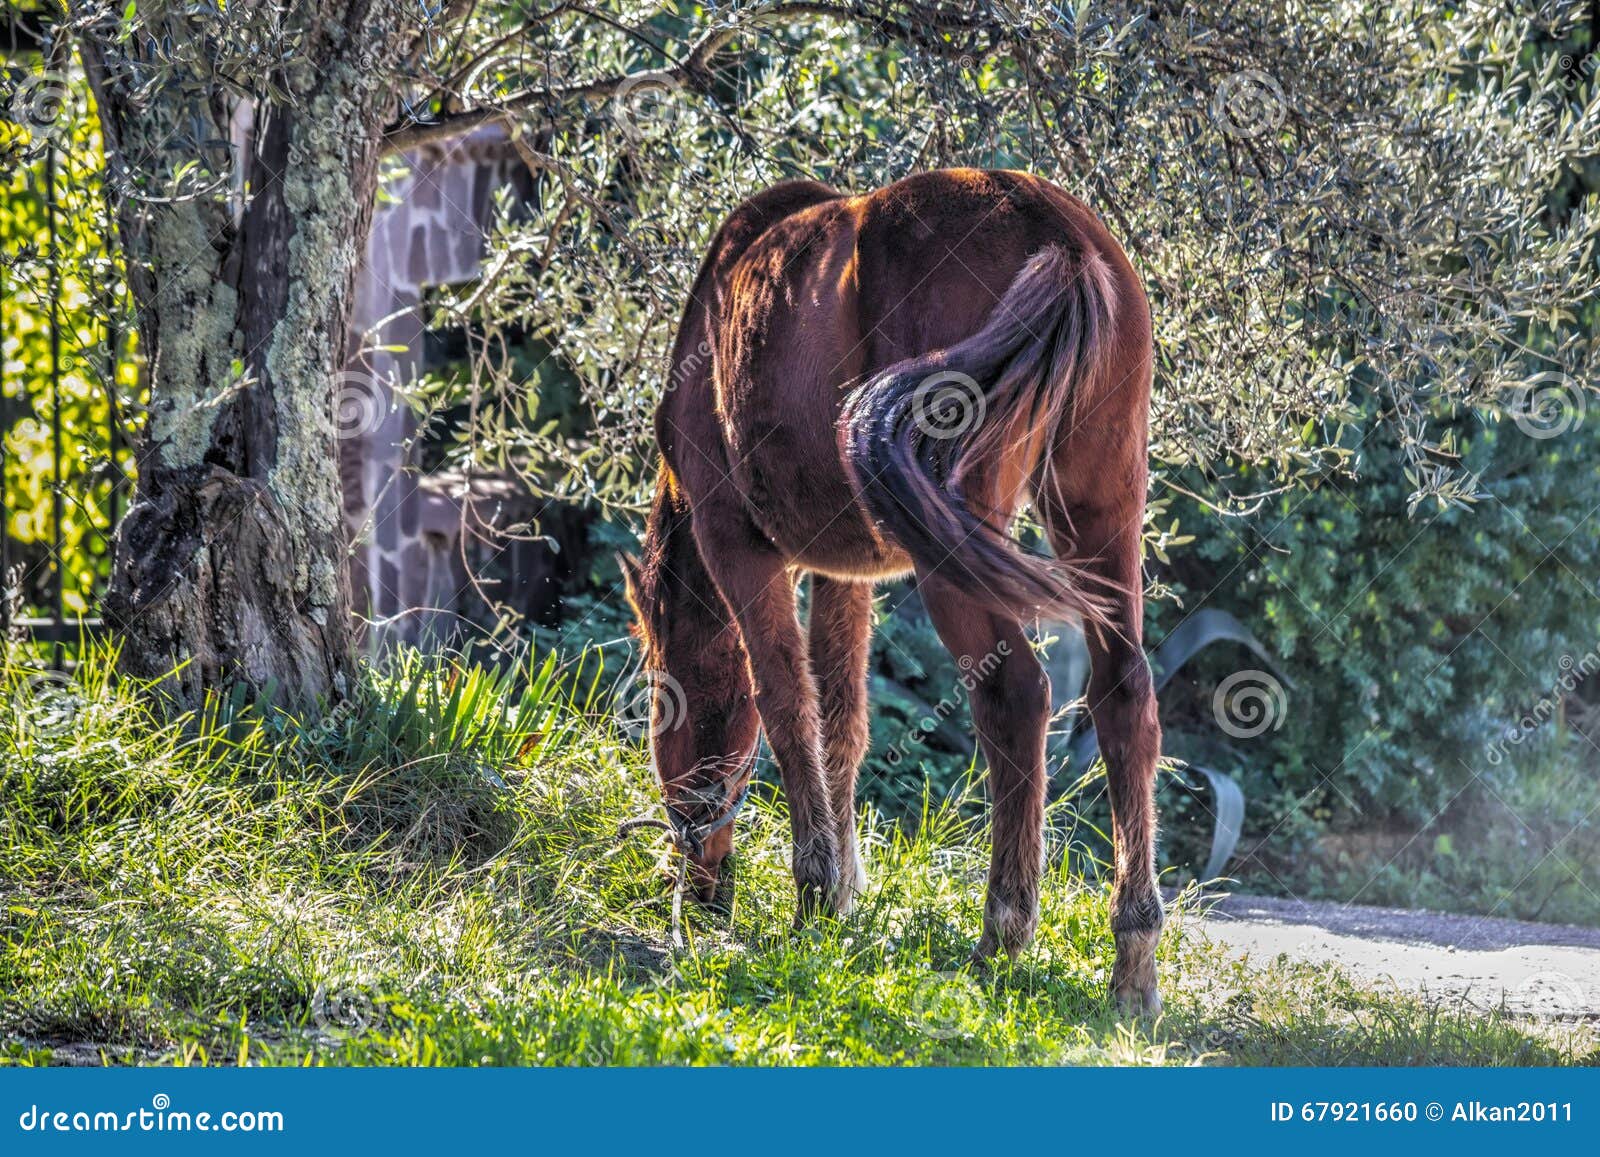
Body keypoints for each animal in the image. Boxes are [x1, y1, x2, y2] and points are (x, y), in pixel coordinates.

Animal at [620, 168, 1163, 1013]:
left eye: (659, 704)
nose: (698, 890)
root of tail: (1056, 237)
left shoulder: (737, 543)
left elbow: (786, 703)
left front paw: (815, 894)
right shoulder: (842, 574)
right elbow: (842, 721)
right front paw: (843, 892)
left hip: (959, 555)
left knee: (1016, 696)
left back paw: (1001, 936)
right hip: (1099, 513)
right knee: (1123, 693)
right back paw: (1133, 961)